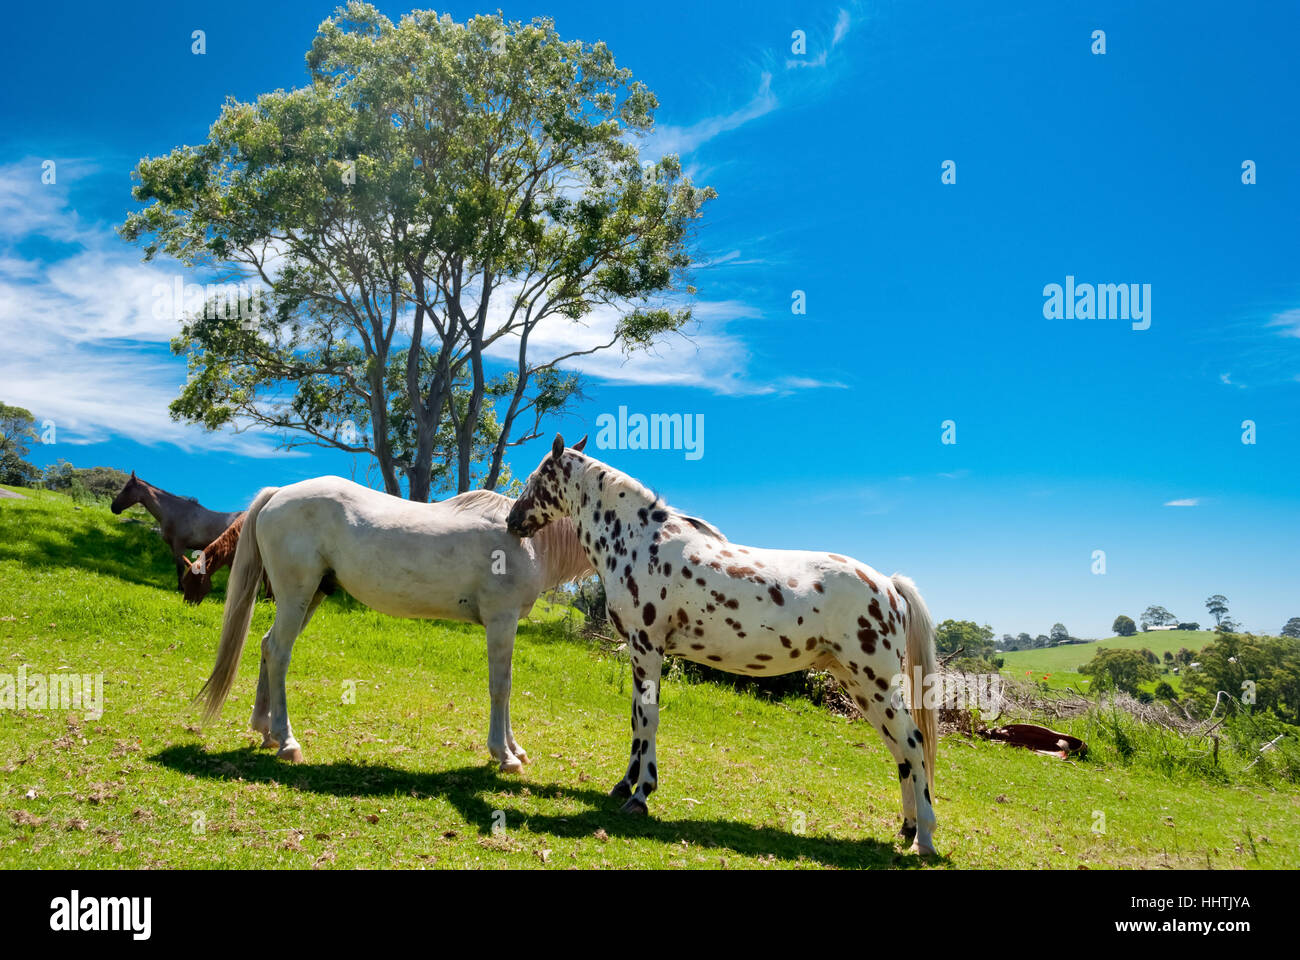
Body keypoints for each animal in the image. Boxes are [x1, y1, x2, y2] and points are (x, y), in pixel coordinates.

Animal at [111, 472, 243, 591]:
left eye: (127, 488)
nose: (113, 507)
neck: (176, 513)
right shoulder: (174, 546)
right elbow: (184, 564)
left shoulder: (179, 544)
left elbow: (180, 567)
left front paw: (182, 588)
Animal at [196, 476, 593, 772]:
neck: (529, 539)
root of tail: (278, 493)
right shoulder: (501, 620)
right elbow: (501, 687)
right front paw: (505, 755)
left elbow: (505, 686)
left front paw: (515, 749)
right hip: (297, 596)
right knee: (279, 652)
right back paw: (288, 741)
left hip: (310, 597)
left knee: (267, 645)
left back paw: (266, 731)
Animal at [506, 435, 941, 855]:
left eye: (538, 475)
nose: (512, 521)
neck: (640, 543)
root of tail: (887, 584)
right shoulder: (637, 652)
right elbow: (635, 719)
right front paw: (623, 786)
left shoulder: (647, 648)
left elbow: (648, 720)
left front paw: (641, 795)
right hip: (859, 686)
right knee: (900, 751)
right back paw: (906, 828)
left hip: (876, 683)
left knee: (913, 744)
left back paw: (924, 840)